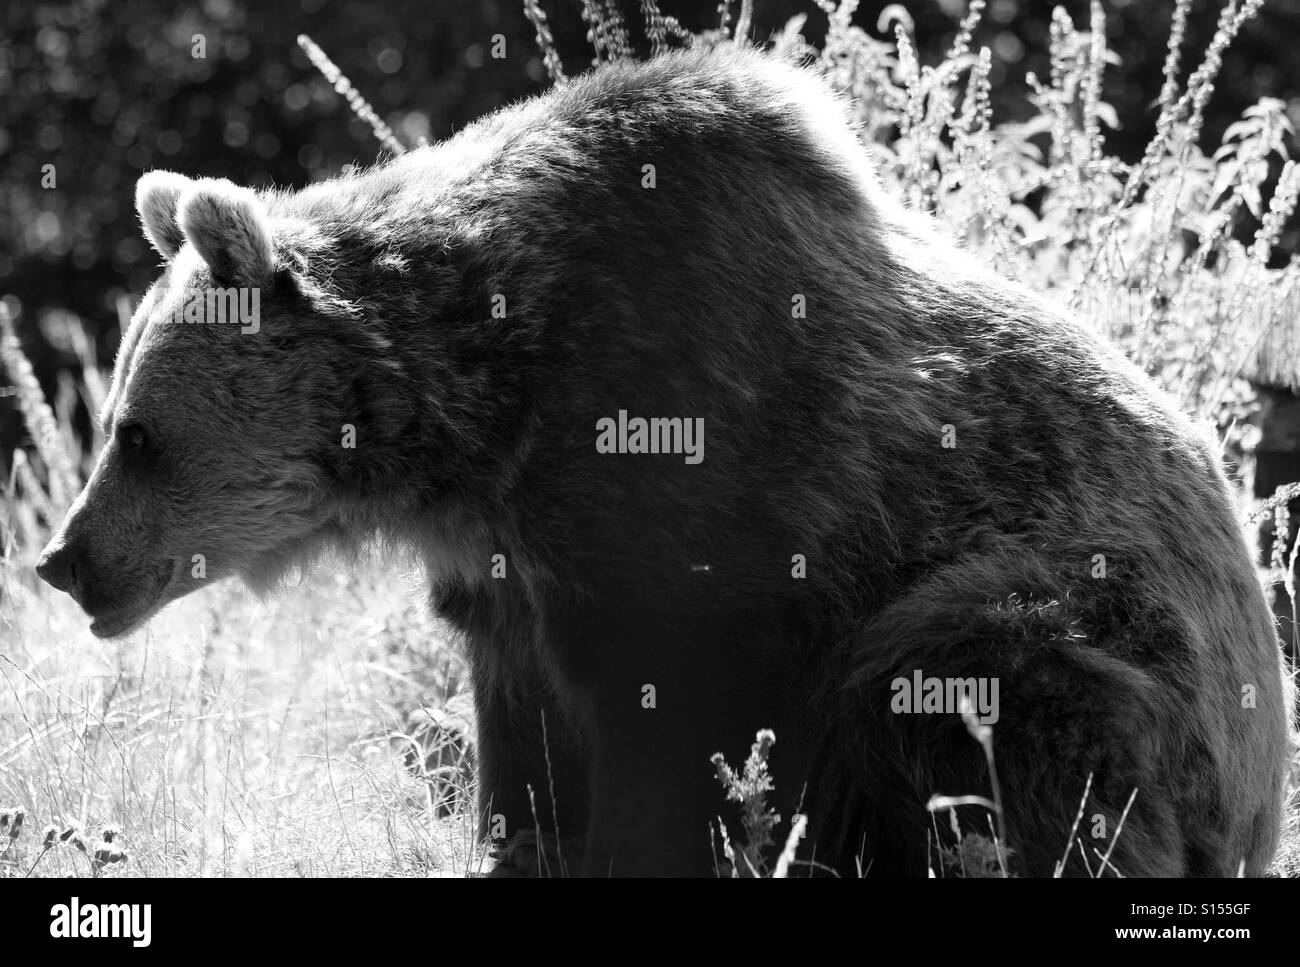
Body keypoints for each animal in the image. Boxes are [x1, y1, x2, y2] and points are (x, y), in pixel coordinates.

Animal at [37, 45, 1290, 877]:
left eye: (134, 432)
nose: (63, 559)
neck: (480, 414)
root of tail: (1262, 788)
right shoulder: (506, 567)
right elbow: (525, 743)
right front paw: (520, 841)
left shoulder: (688, 501)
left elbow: (670, 725)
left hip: (1082, 625)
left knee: (973, 691)